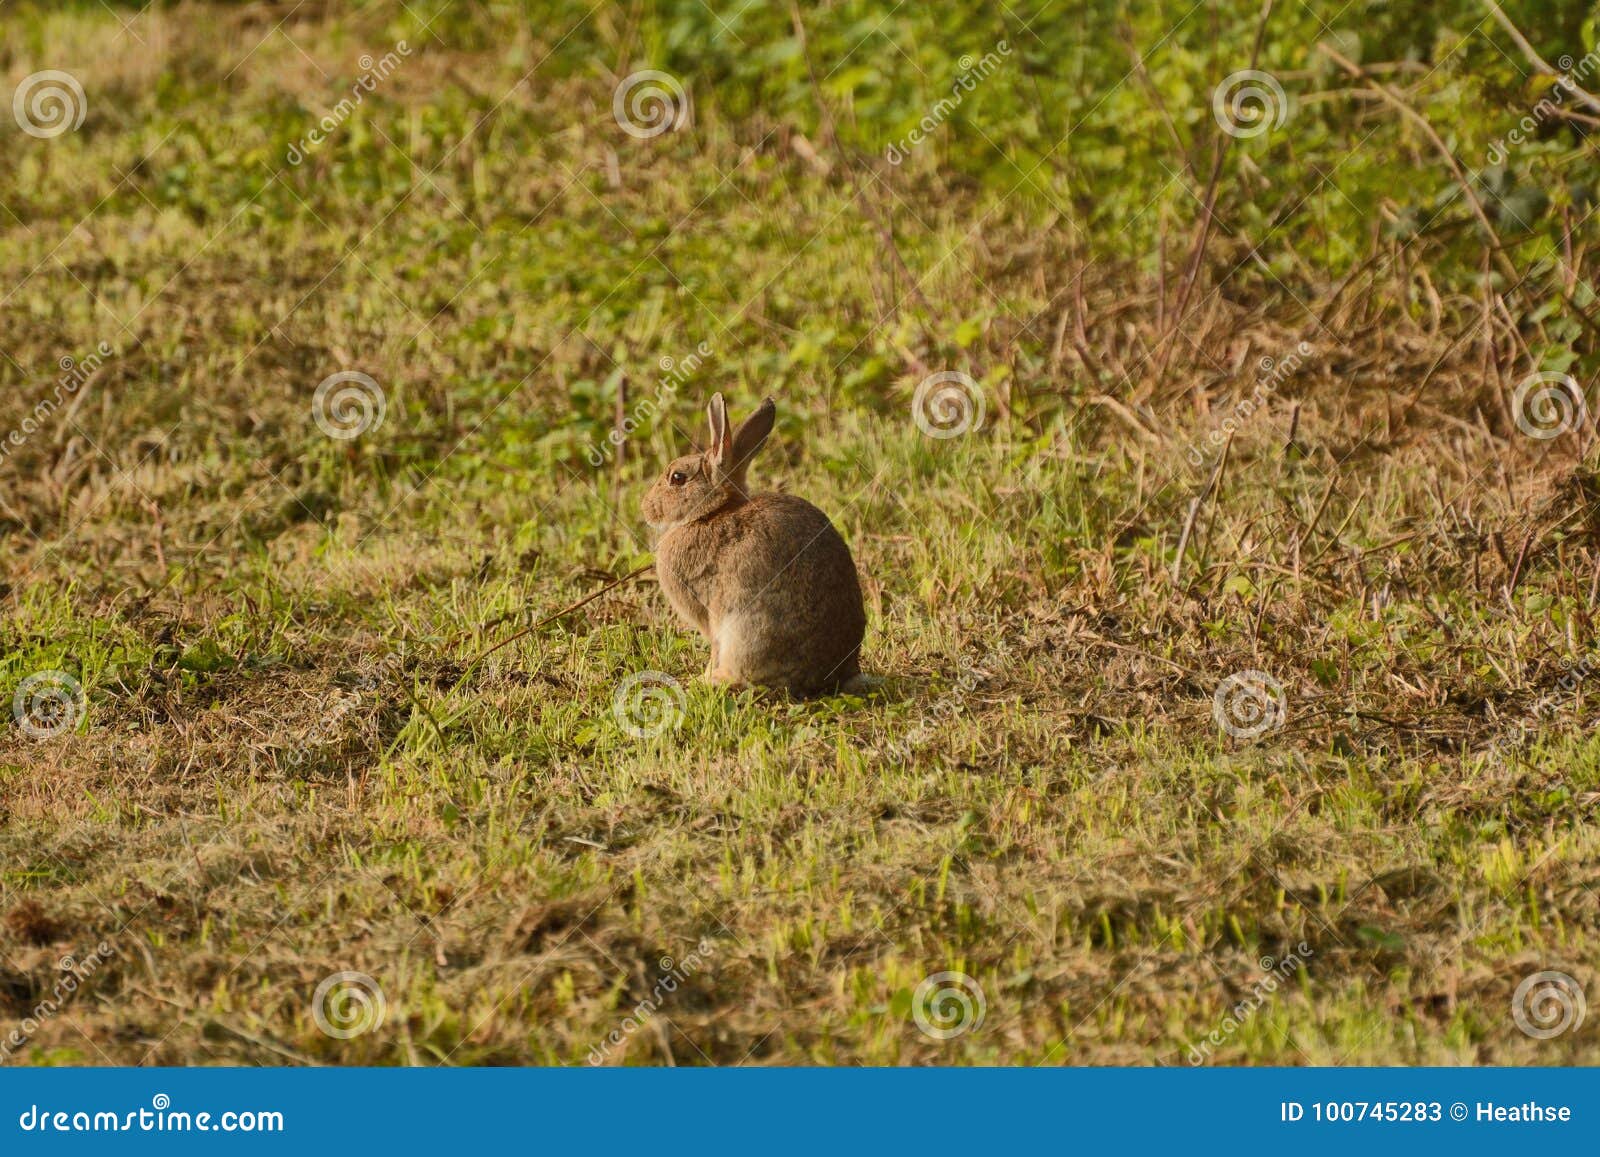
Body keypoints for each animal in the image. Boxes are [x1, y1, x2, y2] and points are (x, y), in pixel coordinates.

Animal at [642, 393, 866, 695]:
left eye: (677, 478)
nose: (646, 508)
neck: (710, 513)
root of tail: (832, 675)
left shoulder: (709, 615)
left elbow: (714, 647)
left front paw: (702, 677)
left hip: (746, 630)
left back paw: (718, 679)